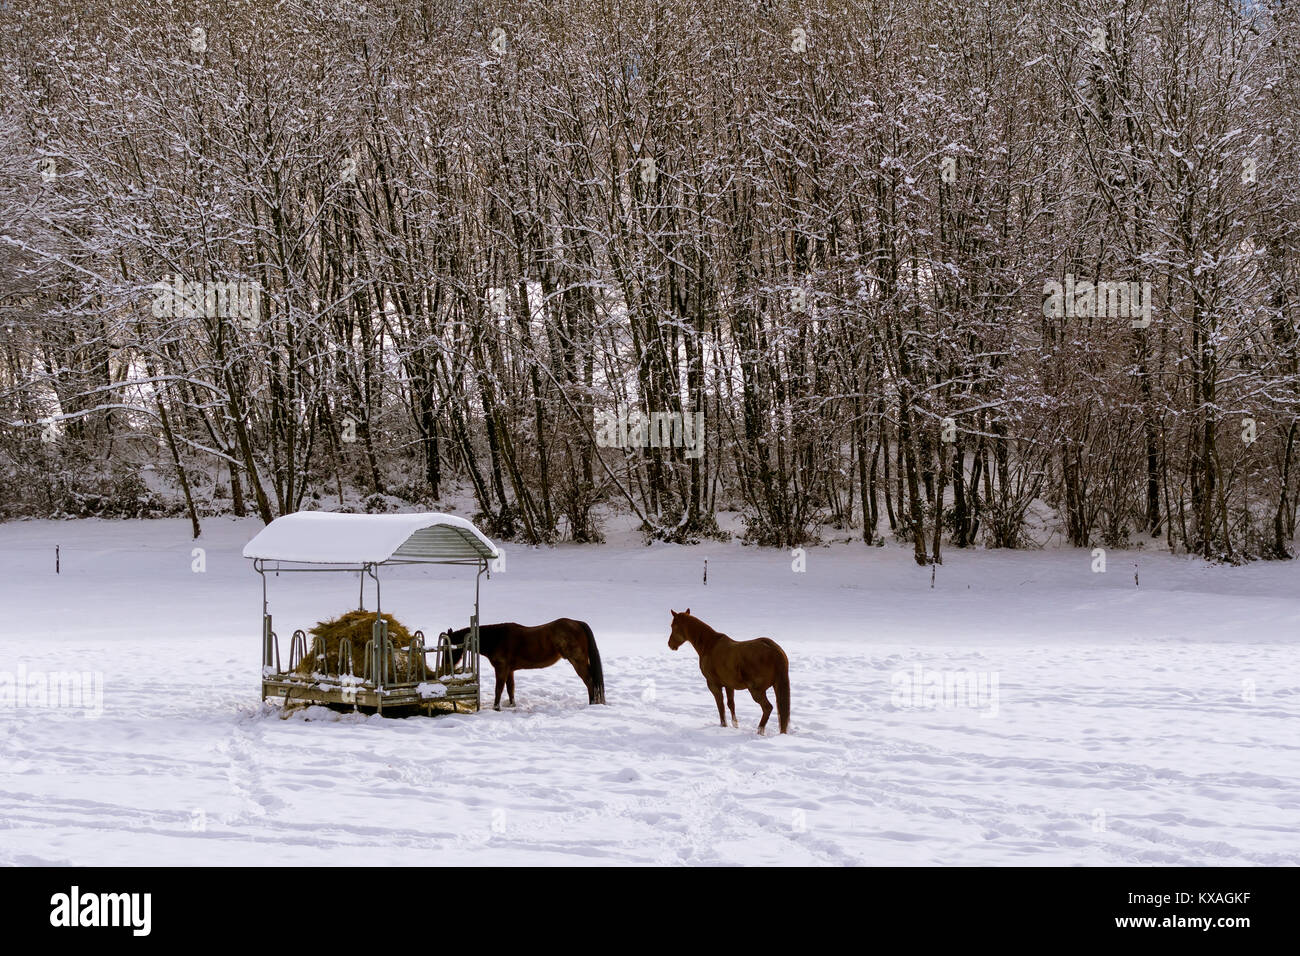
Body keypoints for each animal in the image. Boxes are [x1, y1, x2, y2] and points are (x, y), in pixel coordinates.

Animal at [442, 619, 605, 711]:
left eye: (448, 648)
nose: (445, 666)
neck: (497, 638)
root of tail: (577, 623)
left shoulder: (501, 669)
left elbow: (498, 689)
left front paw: (496, 708)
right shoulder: (509, 670)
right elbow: (510, 689)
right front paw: (511, 706)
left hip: (578, 662)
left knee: (590, 682)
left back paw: (591, 703)